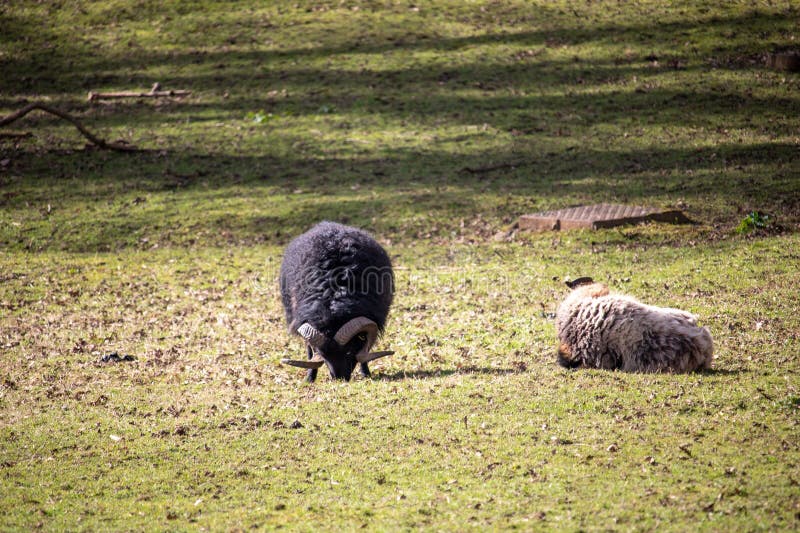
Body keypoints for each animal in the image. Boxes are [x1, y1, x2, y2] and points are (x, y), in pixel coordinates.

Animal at [279, 221, 394, 382]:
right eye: (323, 354)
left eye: (349, 351)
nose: (339, 378)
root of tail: (327, 224)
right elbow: (309, 351)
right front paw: (309, 379)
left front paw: (366, 373)